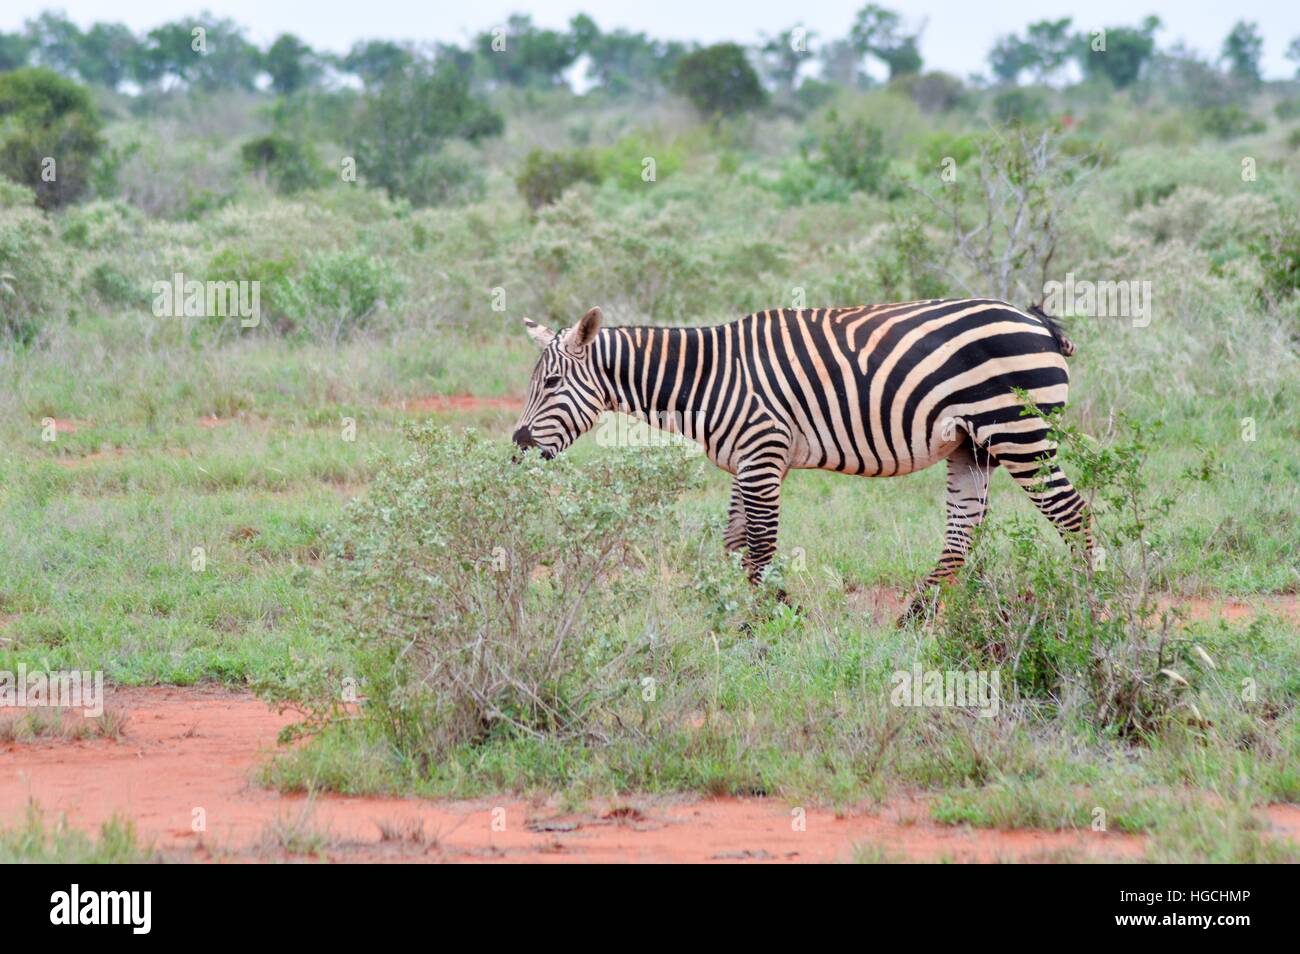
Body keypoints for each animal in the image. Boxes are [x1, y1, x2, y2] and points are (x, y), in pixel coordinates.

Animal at [511, 299, 1092, 621]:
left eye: (553, 383)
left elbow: (760, 547)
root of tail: (1034, 320)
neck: (707, 380)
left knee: (1073, 514)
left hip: (1019, 434)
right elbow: (735, 544)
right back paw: (914, 619)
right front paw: (751, 614)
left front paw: (769, 620)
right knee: (962, 531)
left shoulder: (763, 454)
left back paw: (1086, 604)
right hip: (973, 446)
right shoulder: (745, 461)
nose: (517, 450)